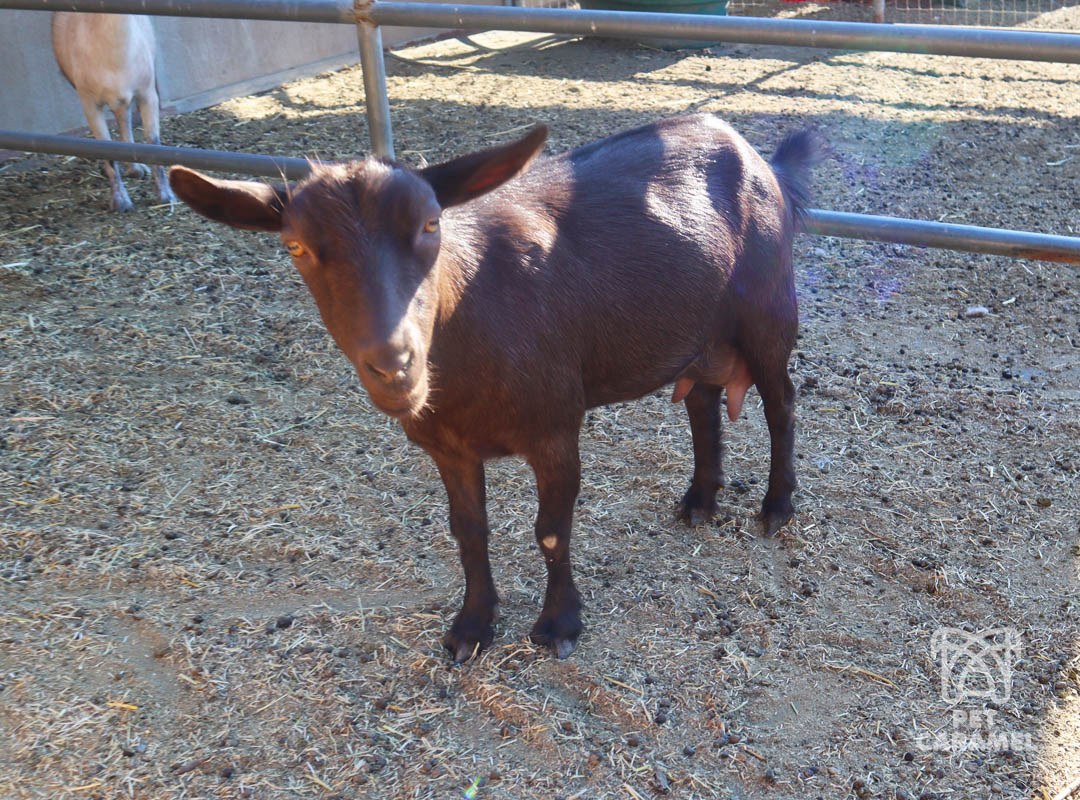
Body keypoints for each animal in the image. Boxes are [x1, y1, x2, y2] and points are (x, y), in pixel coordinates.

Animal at [52, 12, 177, 211]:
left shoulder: (148, 94)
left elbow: (153, 142)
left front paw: (166, 196)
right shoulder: (89, 104)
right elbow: (107, 150)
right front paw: (121, 202)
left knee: (124, 120)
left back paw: (136, 169)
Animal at [168, 114, 819, 661]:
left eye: (431, 224)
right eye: (295, 246)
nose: (394, 364)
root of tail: (756, 154)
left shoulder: (556, 425)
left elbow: (551, 532)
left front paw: (558, 626)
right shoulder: (446, 447)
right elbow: (468, 533)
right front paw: (472, 626)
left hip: (767, 310)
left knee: (782, 404)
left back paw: (776, 507)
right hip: (701, 333)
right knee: (703, 403)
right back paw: (700, 501)